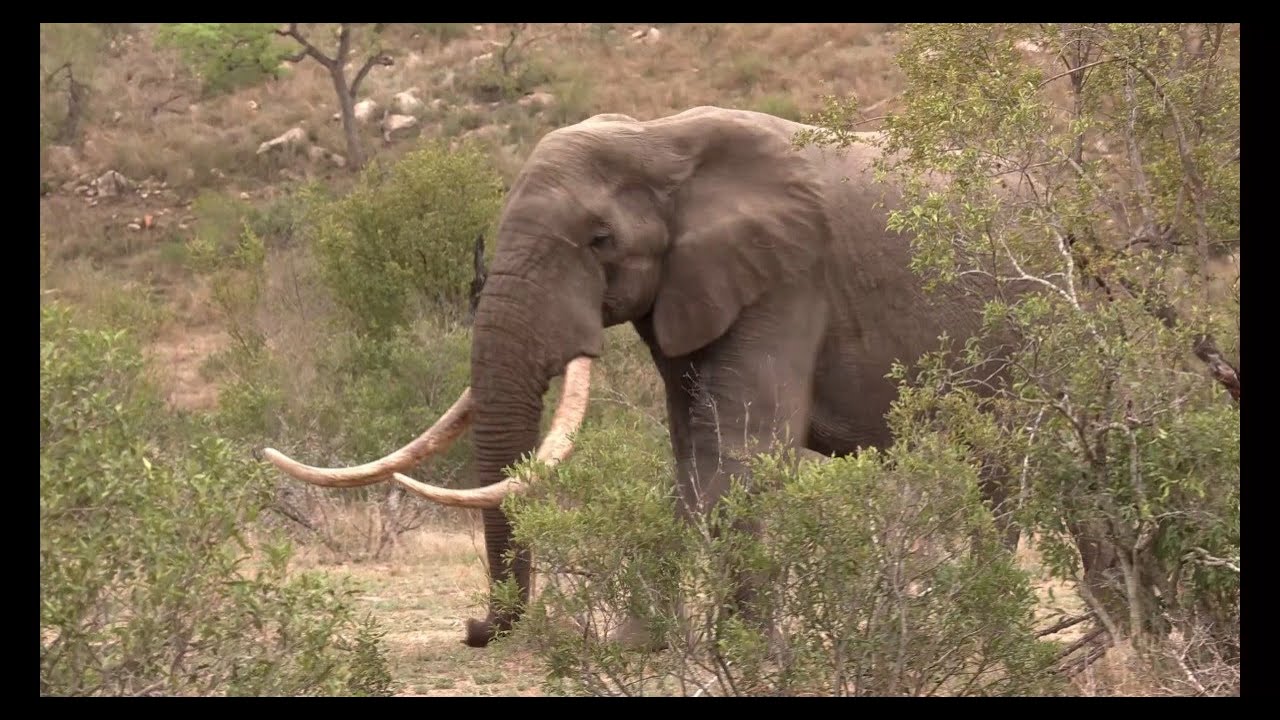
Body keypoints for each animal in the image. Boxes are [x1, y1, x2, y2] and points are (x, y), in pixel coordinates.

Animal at [263, 105, 1018, 649]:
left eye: (600, 241)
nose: (475, 631)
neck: (660, 141)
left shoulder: (789, 277)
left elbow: (738, 452)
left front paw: (739, 650)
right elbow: (689, 453)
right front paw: (653, 644)